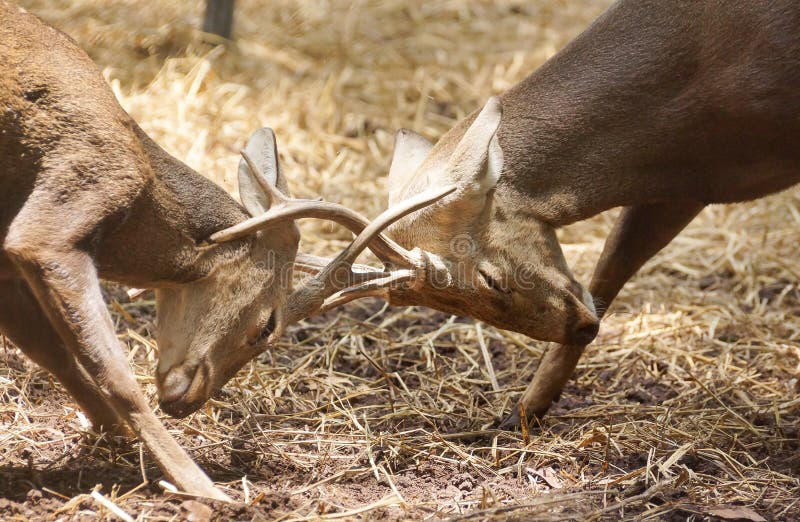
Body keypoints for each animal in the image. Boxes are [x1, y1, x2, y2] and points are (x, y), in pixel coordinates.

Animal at [0, 1, 453, 501]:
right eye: (267, 326)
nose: (190, 400)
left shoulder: (7, 261)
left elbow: (50, 352)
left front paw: (116, 437)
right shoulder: (60, 212)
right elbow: (116, 374)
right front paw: (202, 487)